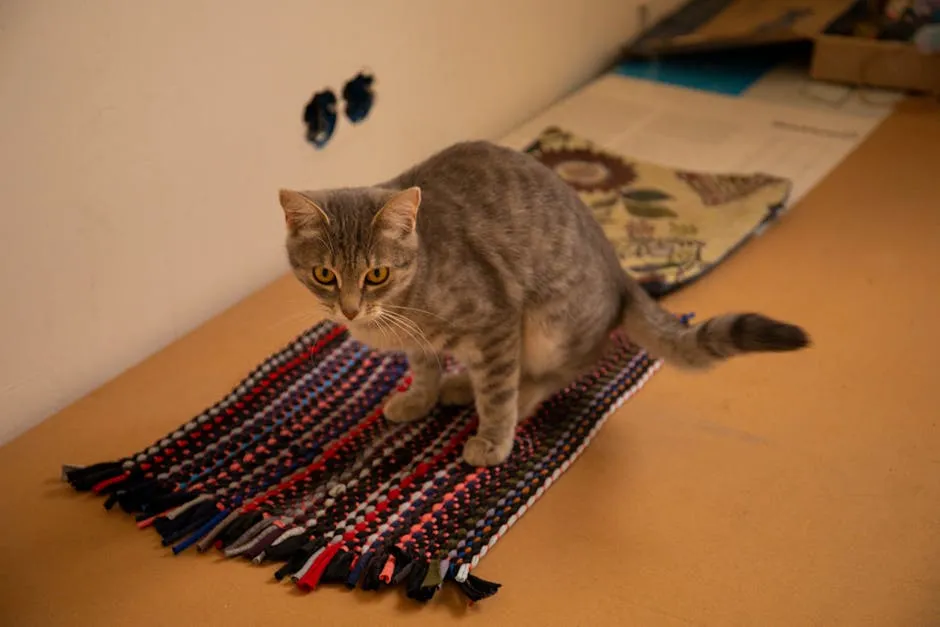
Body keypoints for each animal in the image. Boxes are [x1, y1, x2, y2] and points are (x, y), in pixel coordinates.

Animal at [278, 142, 808, 466]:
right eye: (325, 274)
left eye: (377, 274)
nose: (349, 310)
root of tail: (622, 273)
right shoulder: (422, 342)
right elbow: (425, 368)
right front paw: (420, 397)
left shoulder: (496, 321)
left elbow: (497, 394)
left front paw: (493, 440)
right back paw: (458, 384)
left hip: (549, 325)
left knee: (568, 366)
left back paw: (515, 392)